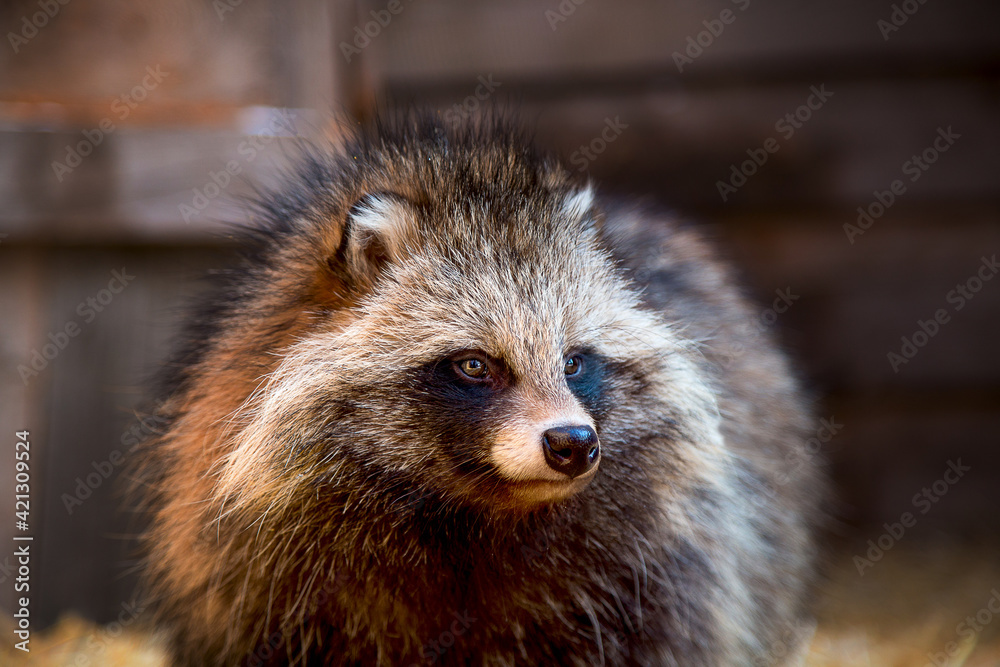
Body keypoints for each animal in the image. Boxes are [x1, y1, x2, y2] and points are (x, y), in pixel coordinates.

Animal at [137, 113, 824, 666]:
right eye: (474, 366)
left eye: (573, 362)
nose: (573, 443)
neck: (472, 513)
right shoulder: (259, 581)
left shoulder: (660, 567)